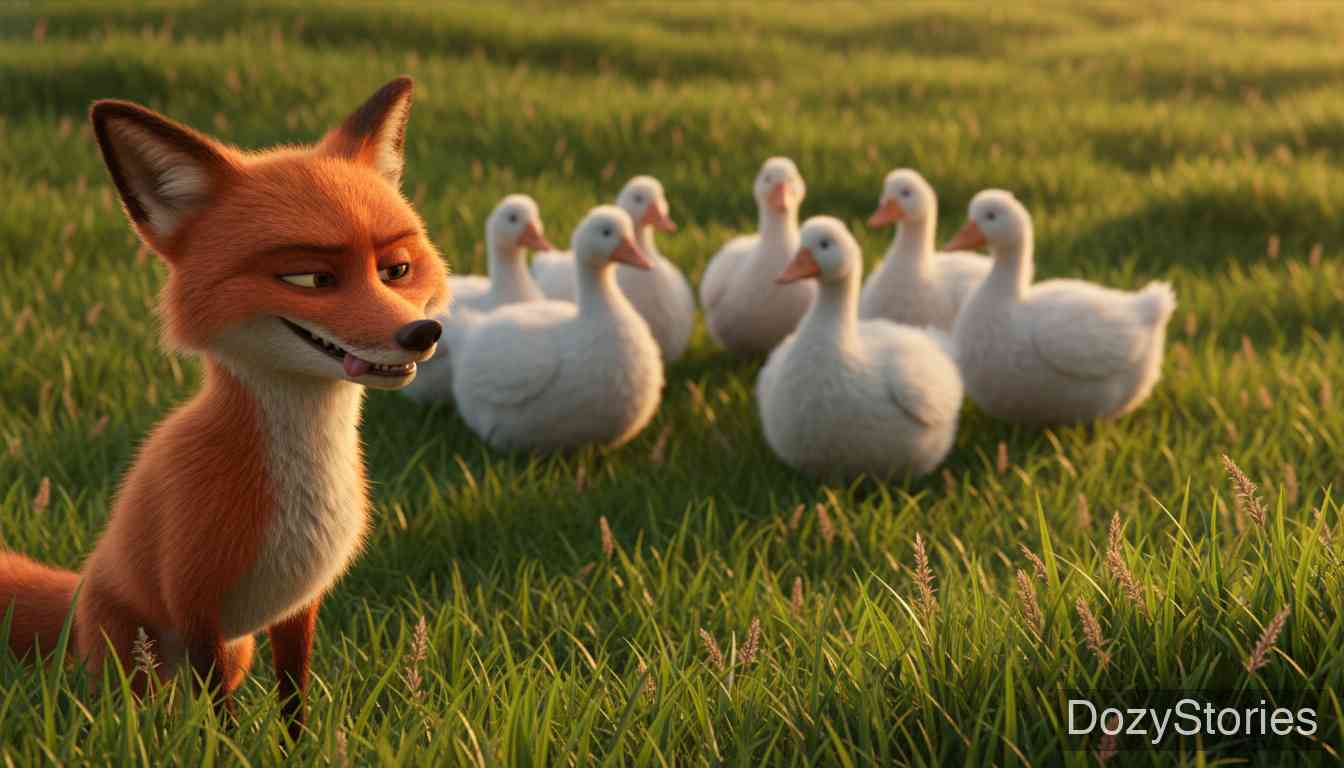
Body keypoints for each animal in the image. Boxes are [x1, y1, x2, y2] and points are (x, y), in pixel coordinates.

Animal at [0, 76, 449, 735]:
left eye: (396, 270)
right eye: (309, 279)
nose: (422, 333)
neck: (299, 490)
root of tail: (83, 583)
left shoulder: (296, 609)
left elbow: (293, 698)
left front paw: (296, 747)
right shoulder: (195, 604)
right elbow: (223, 717)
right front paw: (230, 748)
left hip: (239, 649)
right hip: (132, 655)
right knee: (137, 707)